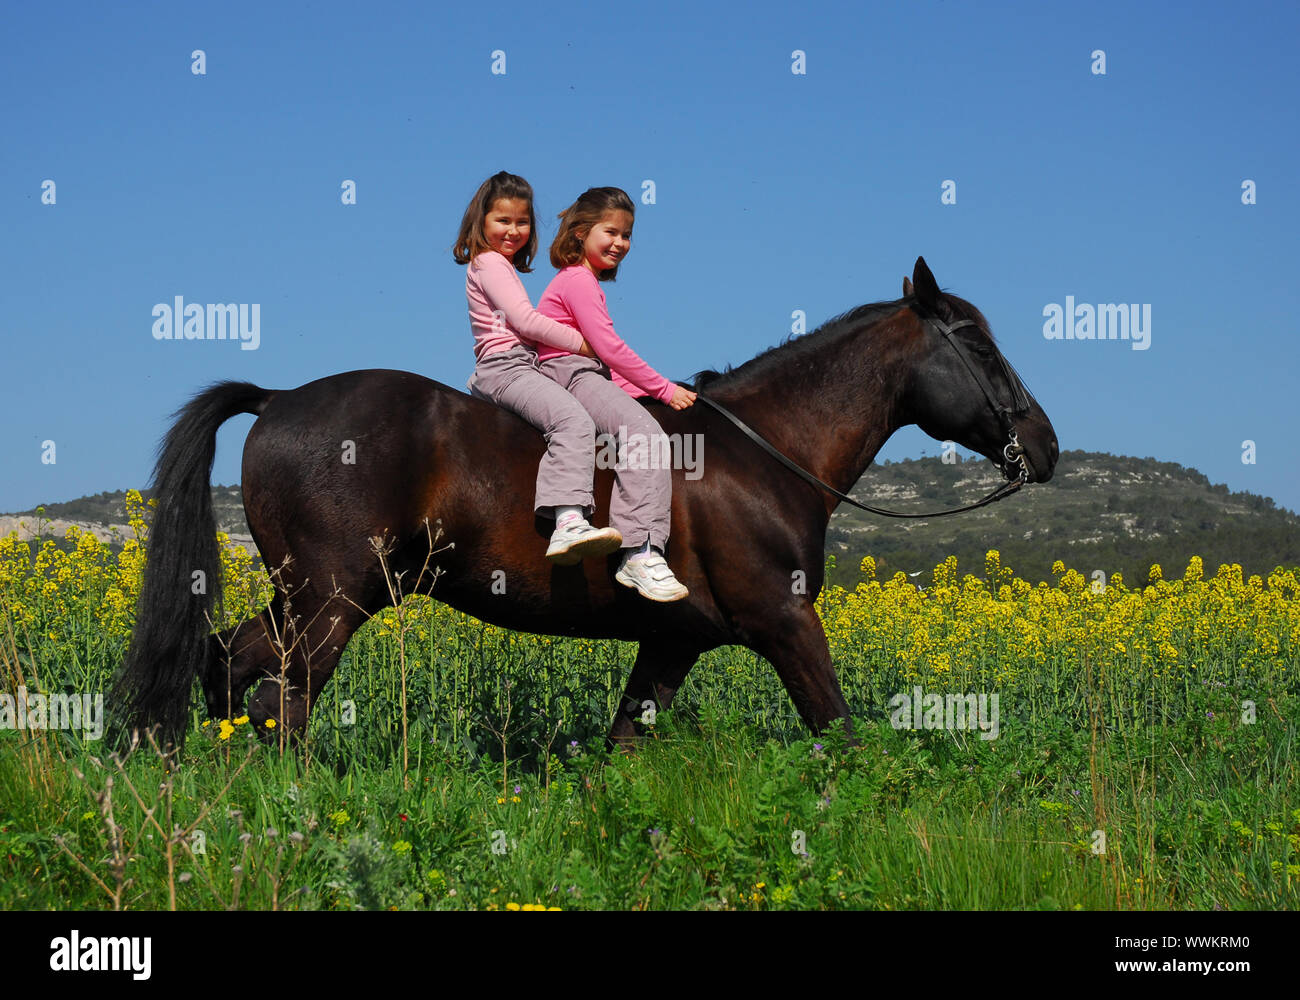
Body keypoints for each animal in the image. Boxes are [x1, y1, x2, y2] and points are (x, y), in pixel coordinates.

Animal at [111, 256, 1058, 751]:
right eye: (977, 345)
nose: (1042, 447)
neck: (762, 454)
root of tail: (276, 399)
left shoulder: (673, 642)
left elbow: (623, 747)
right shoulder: (785, 625)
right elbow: (841, 732)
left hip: (310, 595)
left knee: (228, 666)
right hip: (333, 599)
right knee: (281, 695)